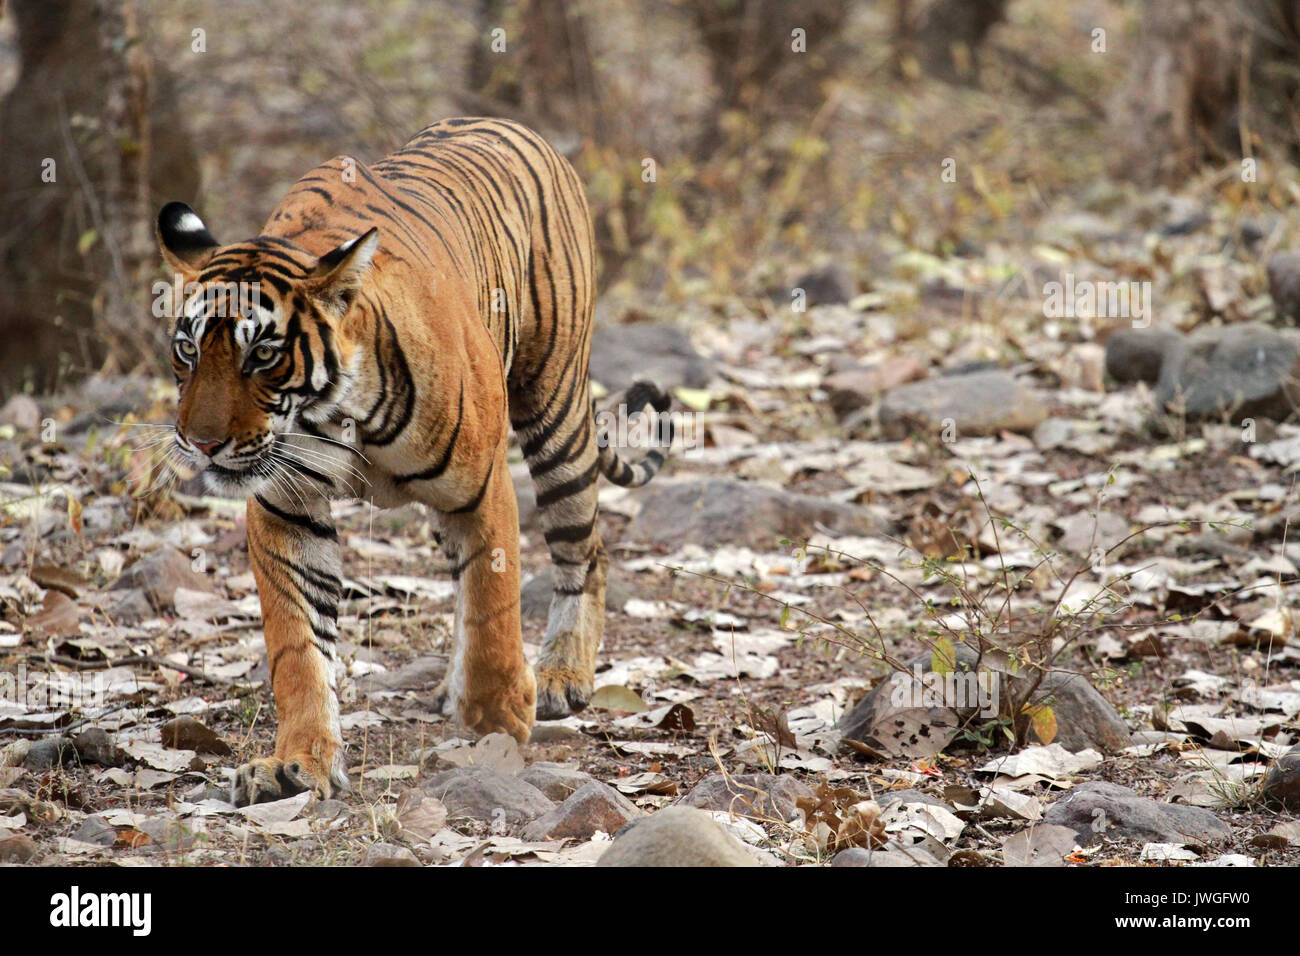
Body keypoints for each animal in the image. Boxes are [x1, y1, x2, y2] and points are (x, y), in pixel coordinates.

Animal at [154, 117, 673, 805]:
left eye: (262, 355)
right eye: (188, 350)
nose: (201, 442)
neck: (333, 412)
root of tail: (517, 126)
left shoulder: (483, 487)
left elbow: (493, 604)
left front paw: (498, 719)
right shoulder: (287, 508)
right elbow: (298, 646)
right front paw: (296, 764)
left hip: (554, 409)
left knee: (585, 551)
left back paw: (562, 674)